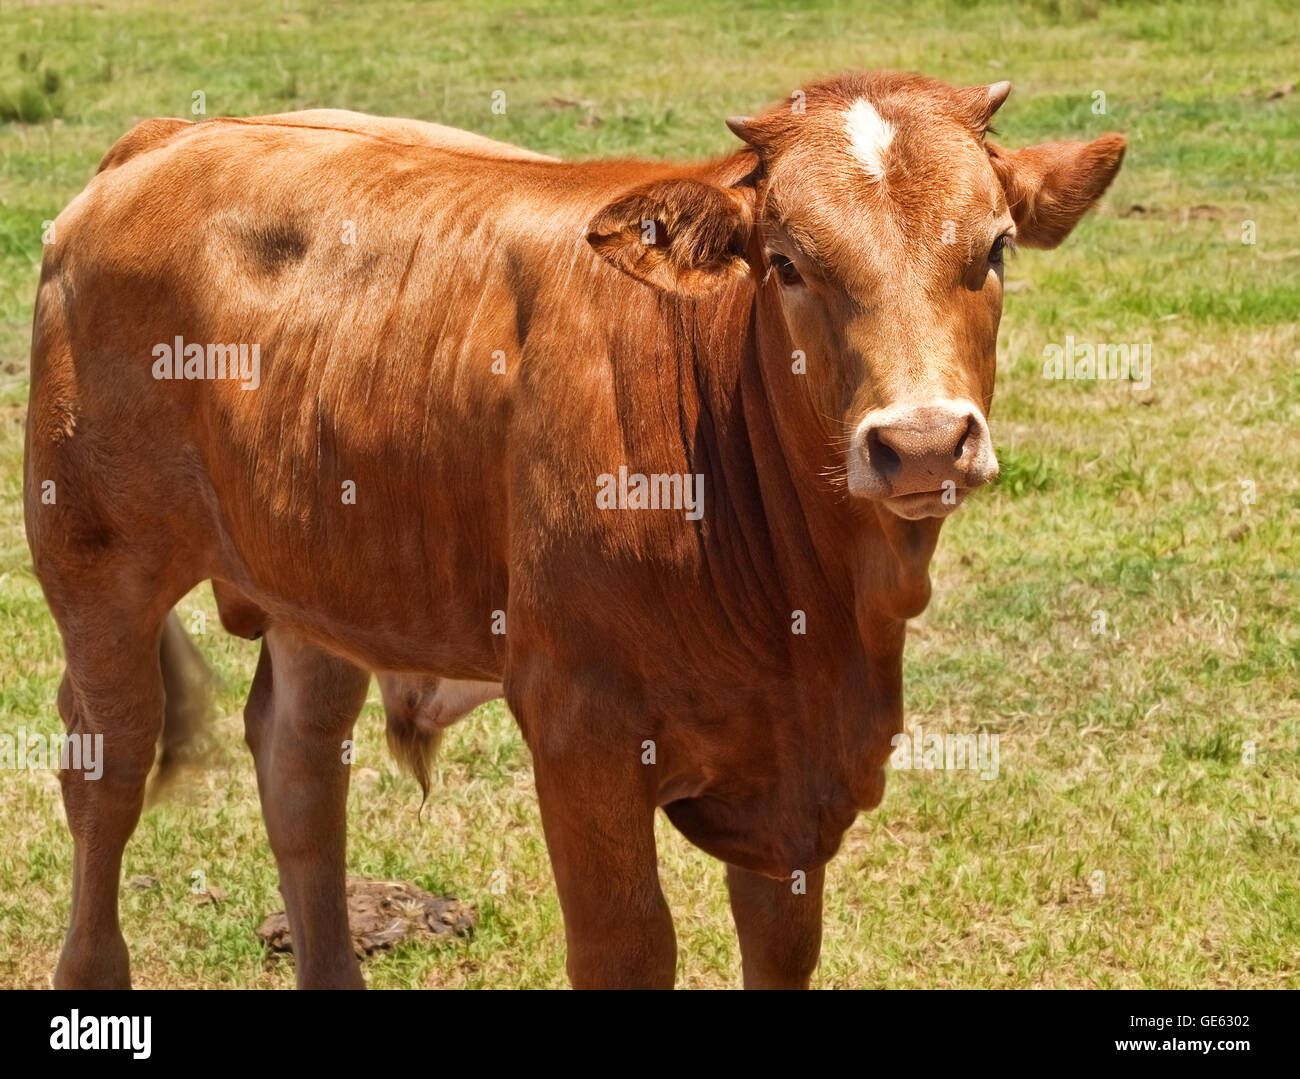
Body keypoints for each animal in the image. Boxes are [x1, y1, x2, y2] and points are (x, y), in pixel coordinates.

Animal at [24, 71, 1124, 989]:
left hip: (322, 582)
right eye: (785, 262)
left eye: (993, 248)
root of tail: (173, 137)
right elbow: (628, 943)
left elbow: (780, 944)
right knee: (107, 766)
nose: (924, 443)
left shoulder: (793, 788)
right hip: (95, 564)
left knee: (299, 770)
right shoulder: (579, 723)